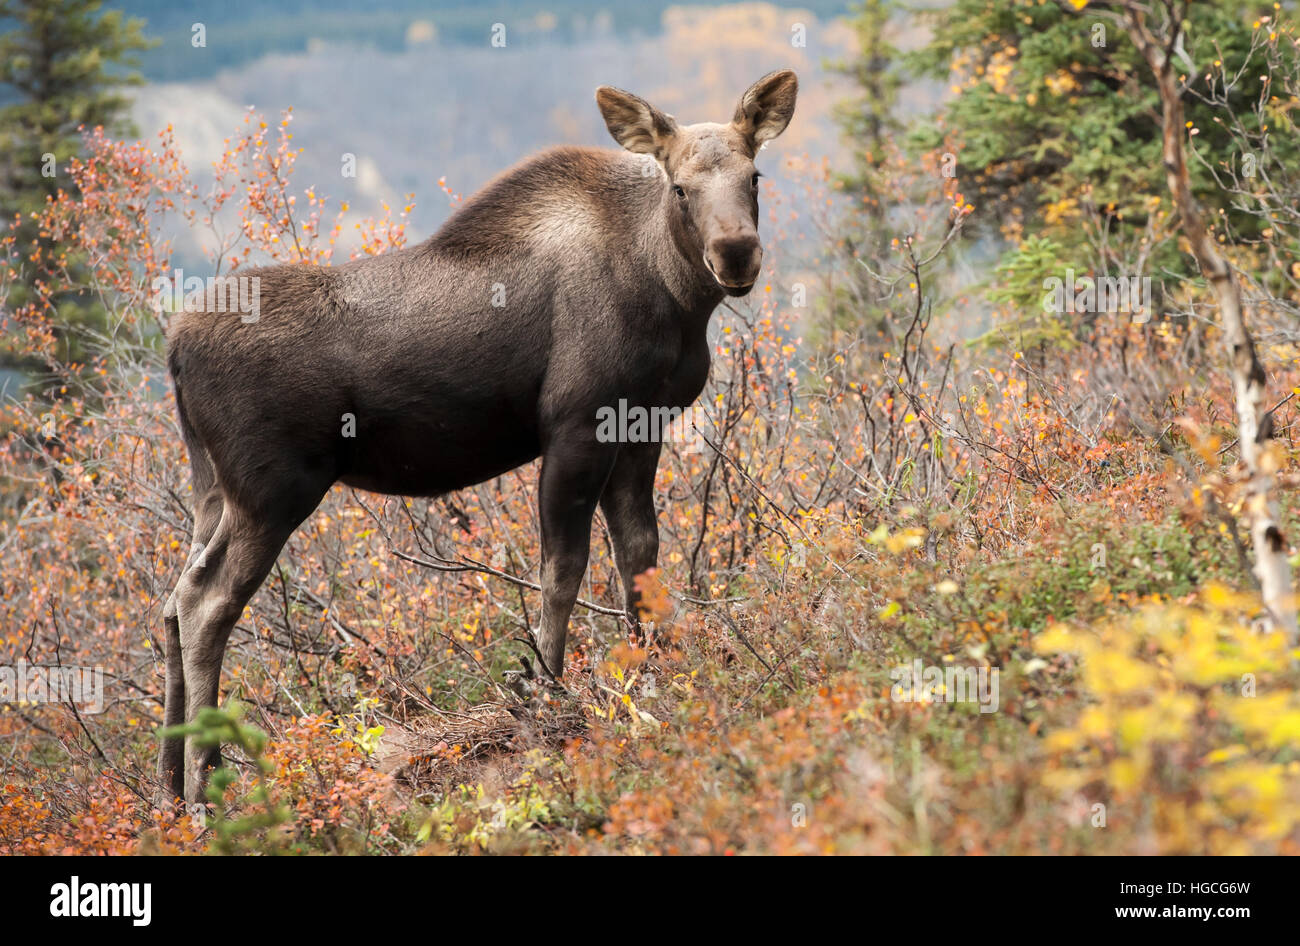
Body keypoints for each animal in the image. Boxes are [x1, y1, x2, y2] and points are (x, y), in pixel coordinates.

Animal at [158, 70, 798, 803]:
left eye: (754, 175)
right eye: (681, 188)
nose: (736, 253)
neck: (675, 299)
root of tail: (173, 347)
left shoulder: (640, 426)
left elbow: (639, 560)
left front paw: (656, 674)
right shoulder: (577, 426)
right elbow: (561, 572)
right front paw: (550, 692)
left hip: (213, 490)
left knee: (172, 601)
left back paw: (168, 787)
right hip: (272, 490)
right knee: (205, 606)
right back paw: (205, 787)